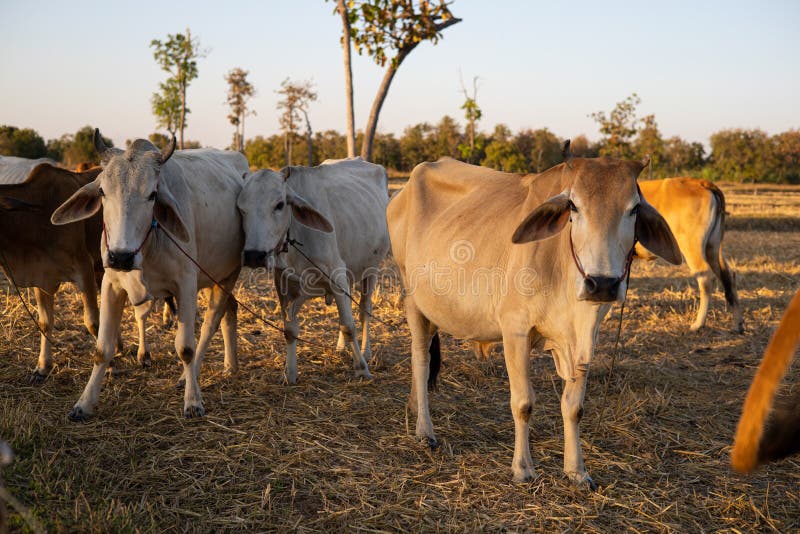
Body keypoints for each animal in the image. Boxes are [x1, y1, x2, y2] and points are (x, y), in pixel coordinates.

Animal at [51, 130, 248, 420]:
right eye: (102, 191)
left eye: (153, 194)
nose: (121, 256)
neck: (148, 247)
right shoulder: (111, 284)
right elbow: (102, 349)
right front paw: (84, 403)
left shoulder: (186, 284)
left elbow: (185, 348)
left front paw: (193, 400)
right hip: (213, 276)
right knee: (230, 310)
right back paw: (231, 365)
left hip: (227, 275)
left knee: (211, 323)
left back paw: (190, 376)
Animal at [237, 157, 390, 384]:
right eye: (241, 208)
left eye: (279, 205)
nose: (254, 255)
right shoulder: (284, 283)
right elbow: (290, 330)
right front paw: (289, 373)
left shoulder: (336, 274)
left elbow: (349, 326)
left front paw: (361, 368)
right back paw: (340, 347)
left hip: (371, 269)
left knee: (364, 310)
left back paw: (366, 352)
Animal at [387, 146, 681, 488]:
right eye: (573, 205)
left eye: (634, 208)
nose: (602, 283)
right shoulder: (515, 331)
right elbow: (523, 403)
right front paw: (523, 468)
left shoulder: (586, 337)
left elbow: (574, 407)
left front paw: (577, 471)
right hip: (413, 299)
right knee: (420, 361)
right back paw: (424, 429)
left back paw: (413, 405)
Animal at [637, 177, 742, 332]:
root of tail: (699, 182)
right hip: (712, 248)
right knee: (728, 275)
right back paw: (738, 324)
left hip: (691, 247)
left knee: (705, 278)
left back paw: (698, 324)